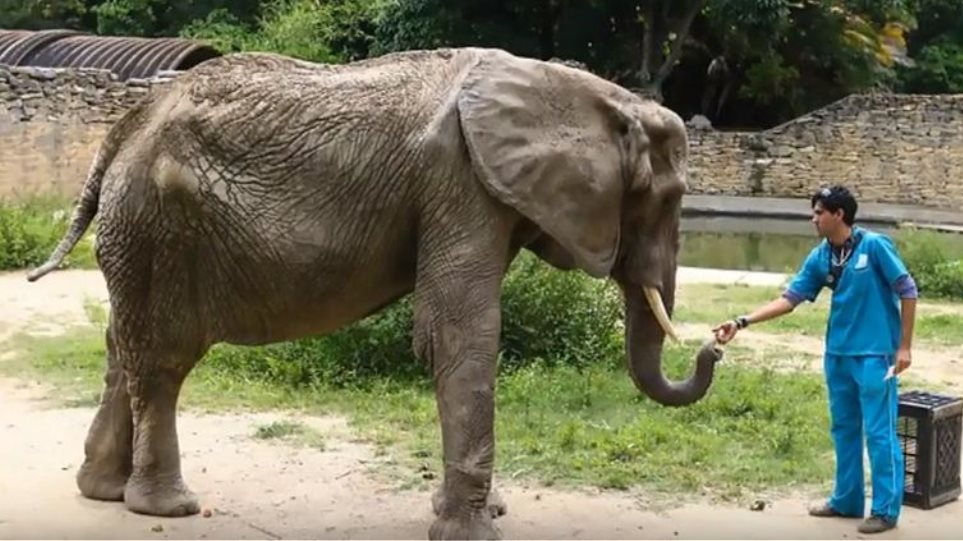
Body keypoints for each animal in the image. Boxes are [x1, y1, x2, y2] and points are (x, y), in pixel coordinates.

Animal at [28, 47, 723, 539]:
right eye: (667, 199)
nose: (715, 346)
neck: (587, 92)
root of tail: (121, 131)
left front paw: (482, 512)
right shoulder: (459, 183)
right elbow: (461, 332)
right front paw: (471, 532)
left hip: (140, 232)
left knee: (124, 346)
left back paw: (104, 492)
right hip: (160, 227)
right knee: (163, 359)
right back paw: (167, 507)